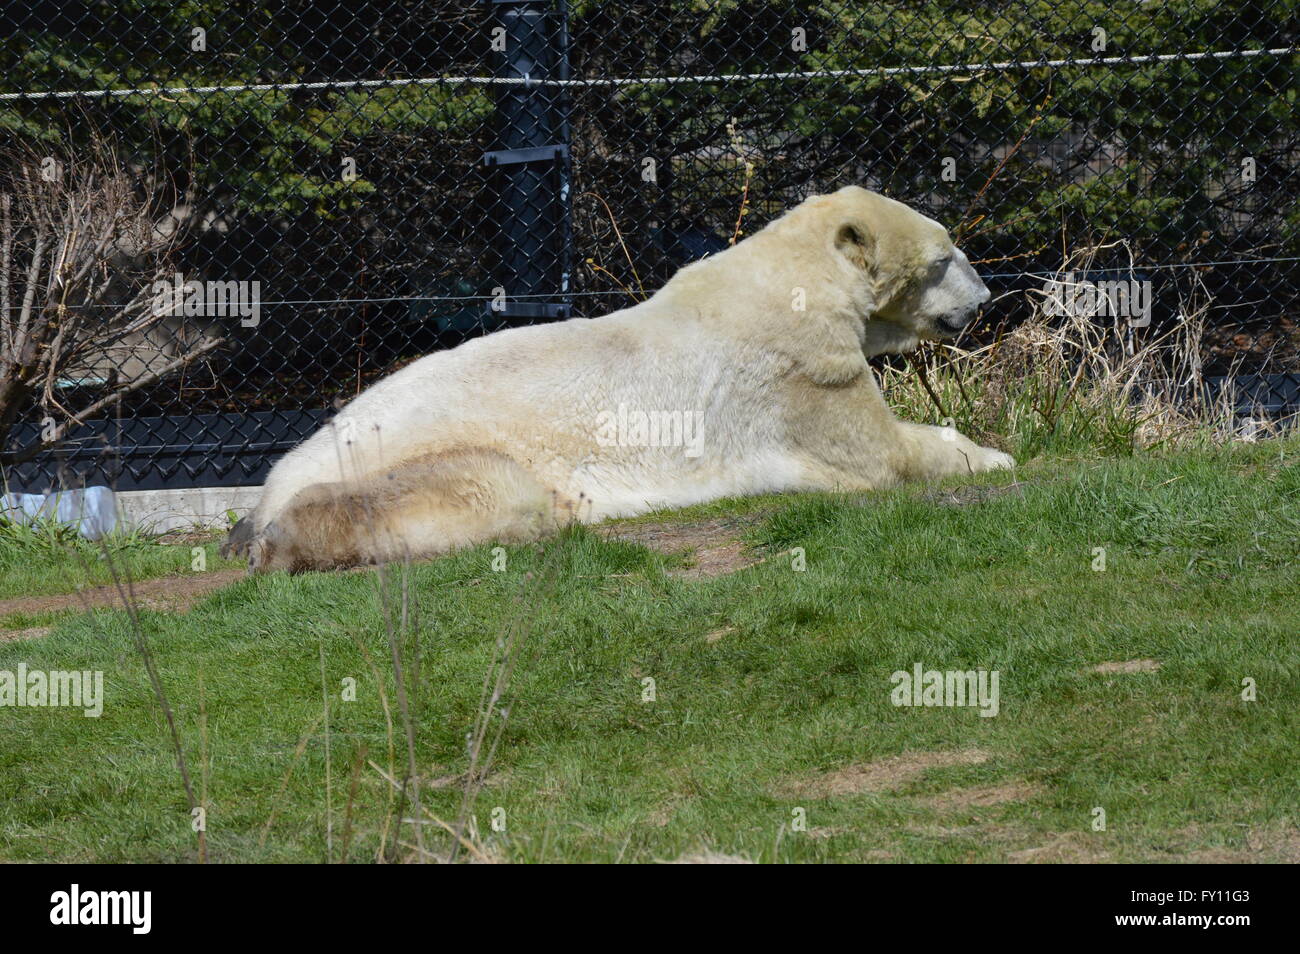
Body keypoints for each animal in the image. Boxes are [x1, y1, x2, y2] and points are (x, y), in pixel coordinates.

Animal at [223, 186, 1013, 573]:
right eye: (945, 257)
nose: (983, 301)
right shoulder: (804, 367)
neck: (796, 279)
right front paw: (992, 454)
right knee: (489, 490)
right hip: (409, 456)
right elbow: (878, 454)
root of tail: (271, 488)